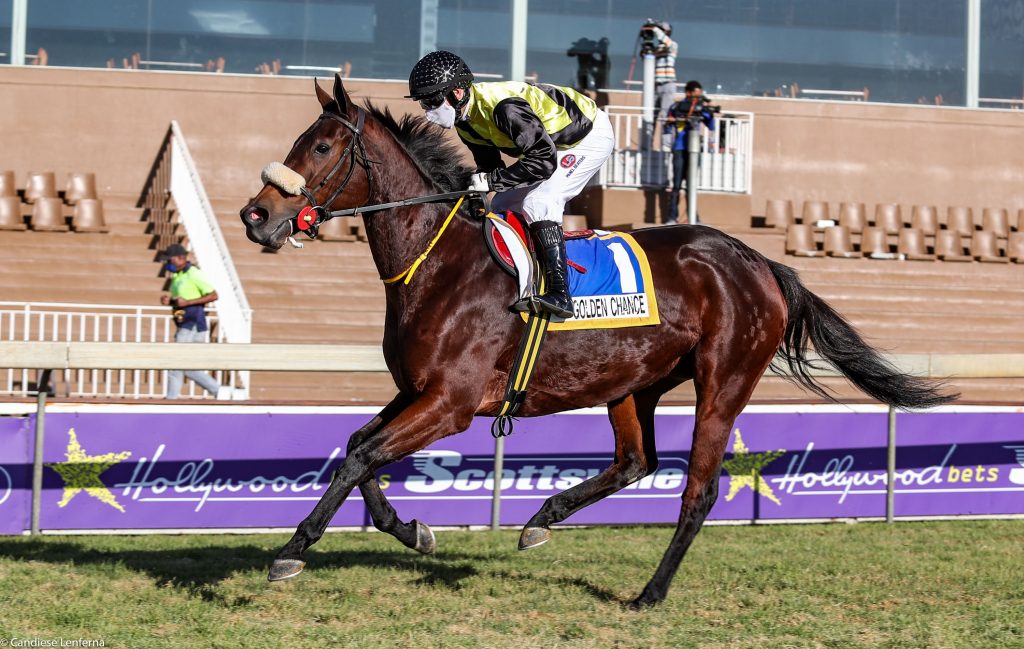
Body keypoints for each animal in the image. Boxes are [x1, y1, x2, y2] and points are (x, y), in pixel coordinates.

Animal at [239, 75, 954, 607]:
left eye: (322, 148)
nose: (256, 215)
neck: (437, 263)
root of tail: (758, 261)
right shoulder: (420, 390)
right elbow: (359, 447)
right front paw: (413, 531)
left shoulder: (451, 403)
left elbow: (363, 456)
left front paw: (291, 553)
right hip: (634, 383)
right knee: (636, 461)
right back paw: (539, 521)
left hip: (724, 380)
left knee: (697, 490)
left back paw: (650, 592)